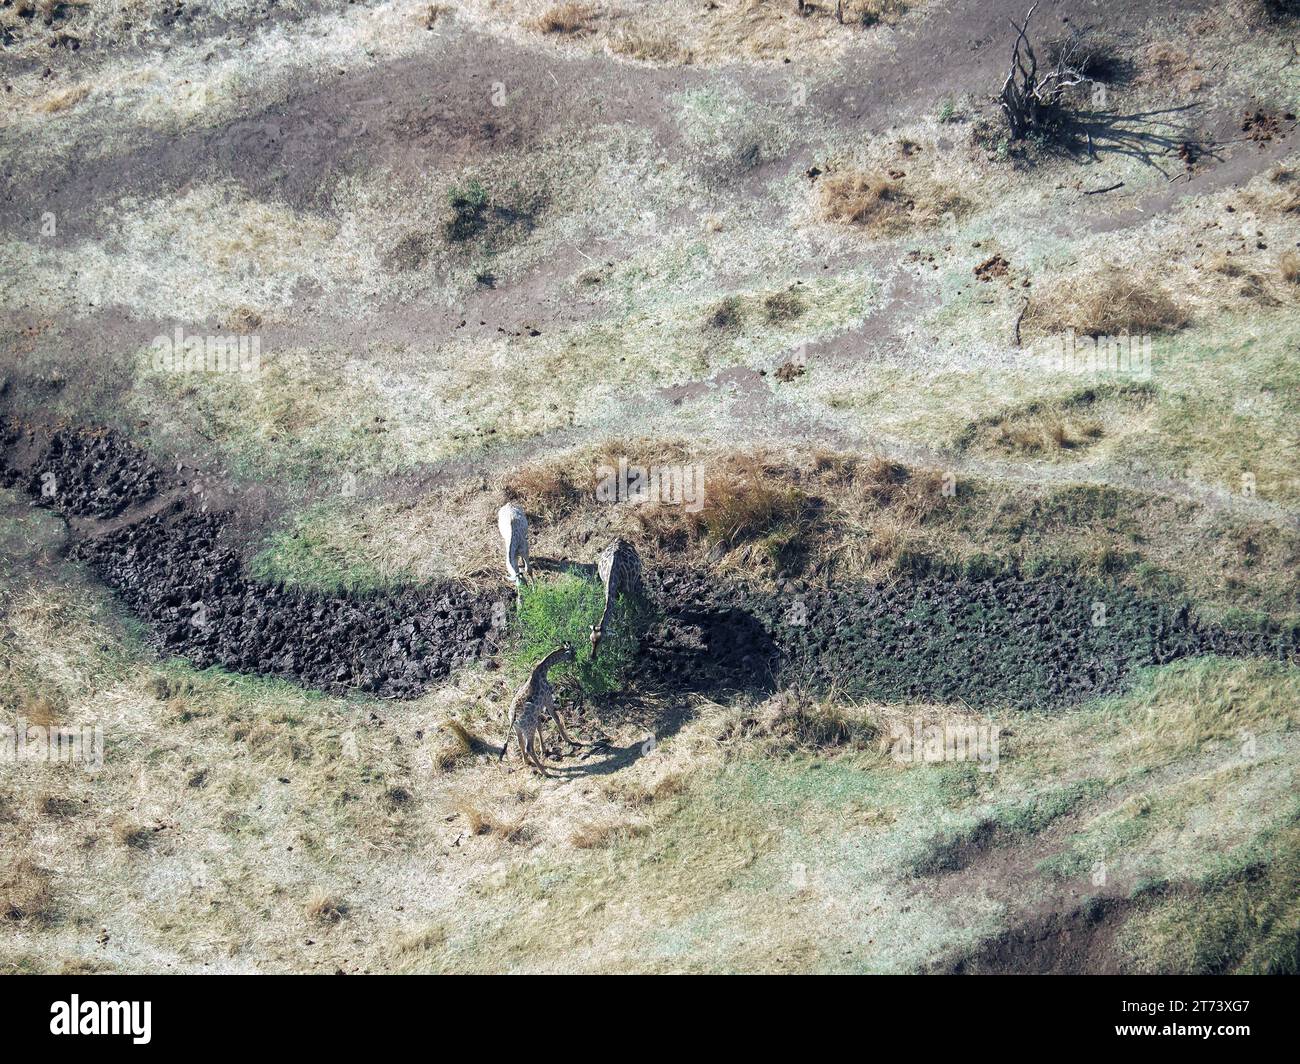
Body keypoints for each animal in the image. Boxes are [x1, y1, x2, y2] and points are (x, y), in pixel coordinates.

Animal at [499, 644, 580, 774]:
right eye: (573, 653)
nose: (575, 659)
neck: (543, 670)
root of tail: (513, 717)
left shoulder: (537, 712)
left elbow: (540, 727)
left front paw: (544, 750)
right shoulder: (548, 699)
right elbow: (556, 719)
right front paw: (568, 740)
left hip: (518, 728)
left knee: (520, 742)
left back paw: (527, 761)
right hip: (528, 728)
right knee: (529, 748)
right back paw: (545, 772)